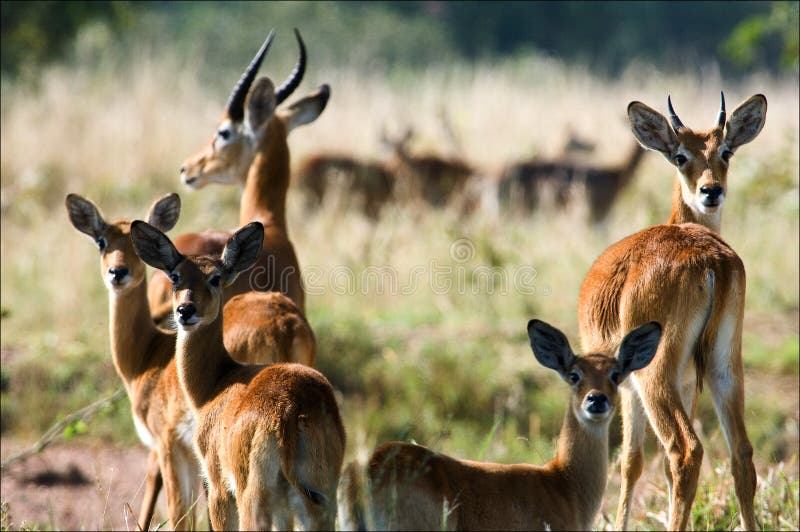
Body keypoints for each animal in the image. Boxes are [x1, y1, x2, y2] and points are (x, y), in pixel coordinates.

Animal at [66, 193, 315, 530]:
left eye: (131, 244)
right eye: (102, 240)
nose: (118, 272)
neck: (147, 357)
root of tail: (284, 325)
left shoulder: (170, 446)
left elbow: (179, 512)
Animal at [130, 220, 345, 530]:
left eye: (215, 278)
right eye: (176, 276)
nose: (185, 310)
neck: (217, 383)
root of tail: (290, 412)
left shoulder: (218, 487)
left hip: (250, 499)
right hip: (318, 501)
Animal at [578, 93, 767, 530]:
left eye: (726, 151)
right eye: (681, 156)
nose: (711, 190)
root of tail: (712, 260)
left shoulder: (625, 386)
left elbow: (630, 461)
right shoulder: (687, 382)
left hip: (656, 377)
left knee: (685, 450)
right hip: (722, 366)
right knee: (741, 453)